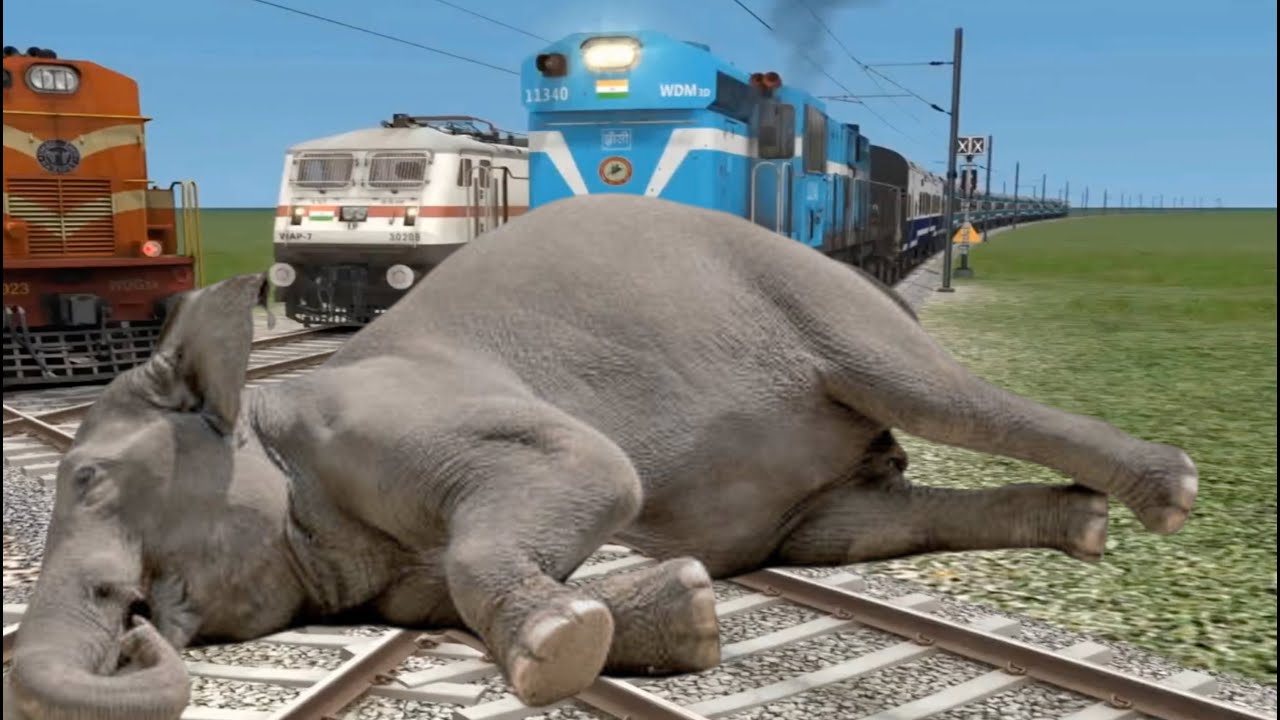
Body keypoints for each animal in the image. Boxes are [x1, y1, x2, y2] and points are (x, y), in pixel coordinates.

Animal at [5, 193, 1198, 720]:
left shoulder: (392, 413)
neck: (269, 405)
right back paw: (1078, 523)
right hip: (837, 495)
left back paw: (1164, 493)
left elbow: (593, 469)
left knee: (944, 396)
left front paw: (561, 646)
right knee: (867, 521)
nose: (137, 629)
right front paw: (681, 615)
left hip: (820, 301)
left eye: (88, 477)